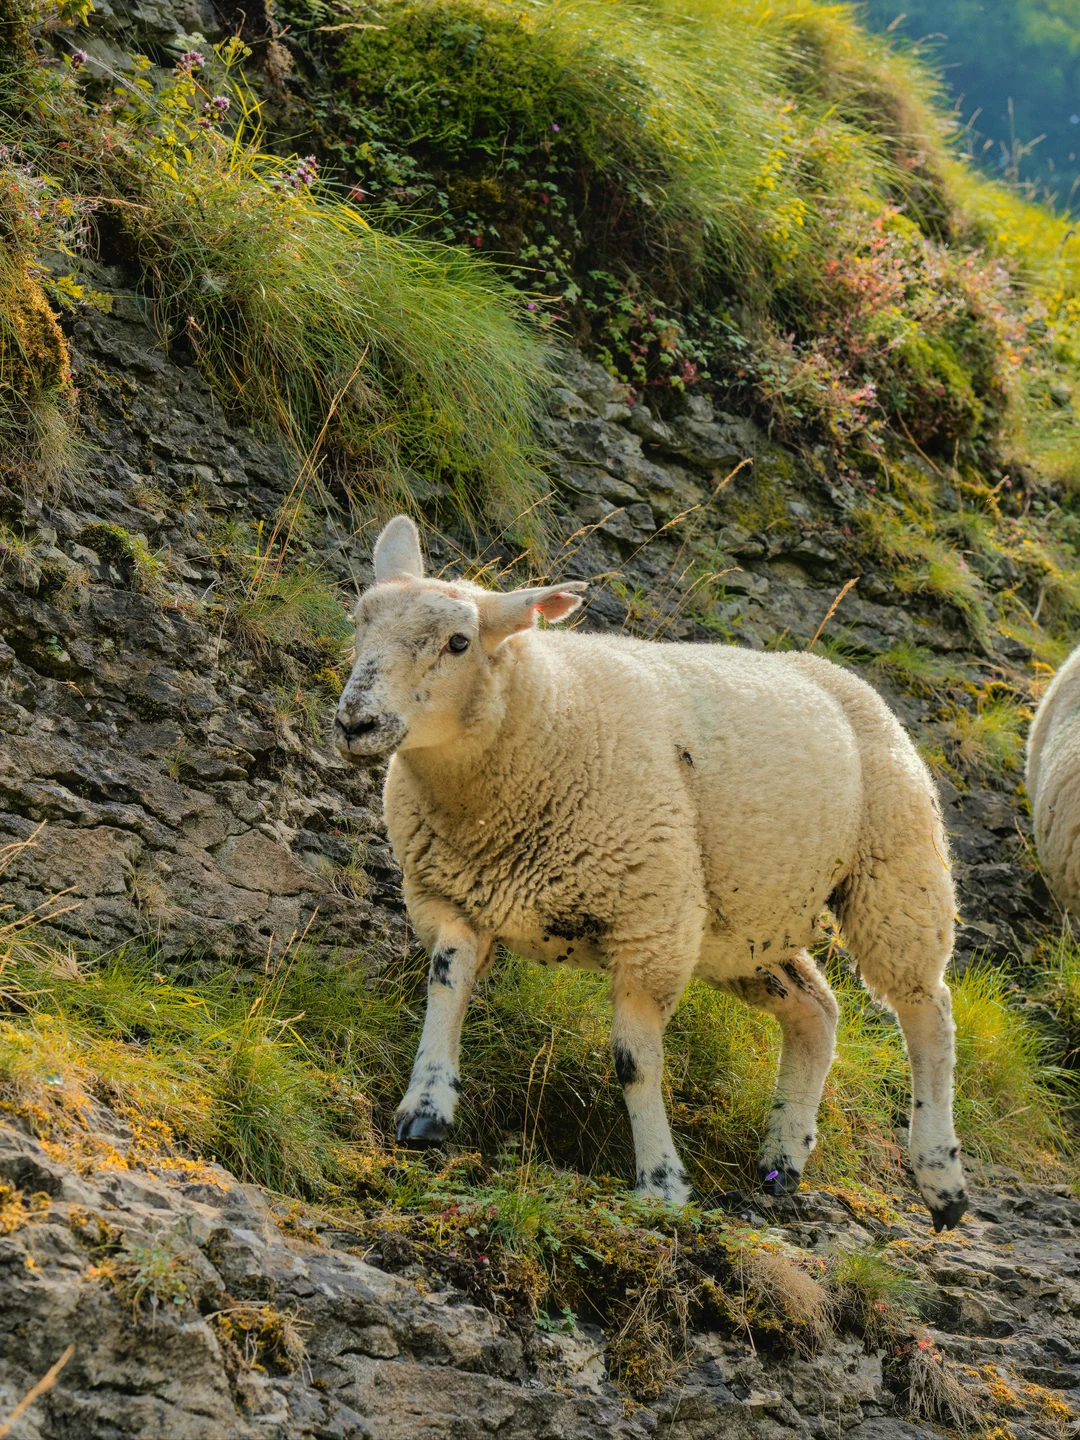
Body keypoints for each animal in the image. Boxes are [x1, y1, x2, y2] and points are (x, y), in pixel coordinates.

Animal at [335, 515, 968, 1231]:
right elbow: (446, 987)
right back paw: (782, 1160)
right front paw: (425, 1111)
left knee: (927, 1011)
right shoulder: (448, 897)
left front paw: (661, 1183)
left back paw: (941, 1177)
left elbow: (635, 1063)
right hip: (737, 924)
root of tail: (837, 674)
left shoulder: (648, 927)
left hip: (897, 871)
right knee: (817, 1009)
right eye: (359, 622)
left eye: (459, 642)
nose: (355, 723)